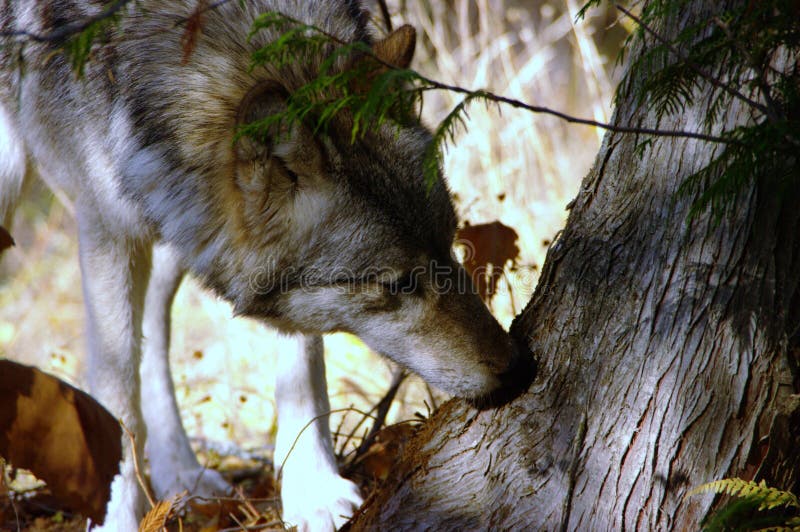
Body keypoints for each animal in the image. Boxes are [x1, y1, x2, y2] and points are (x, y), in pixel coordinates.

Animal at [0, 1, 534, 530]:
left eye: (449, 247)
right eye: (399, 284)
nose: (517, 367)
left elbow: (304, 368)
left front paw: (313, 490)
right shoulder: (106, 229)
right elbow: (117, 391)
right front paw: (117, 518)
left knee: (155, 334)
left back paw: (182, 476)